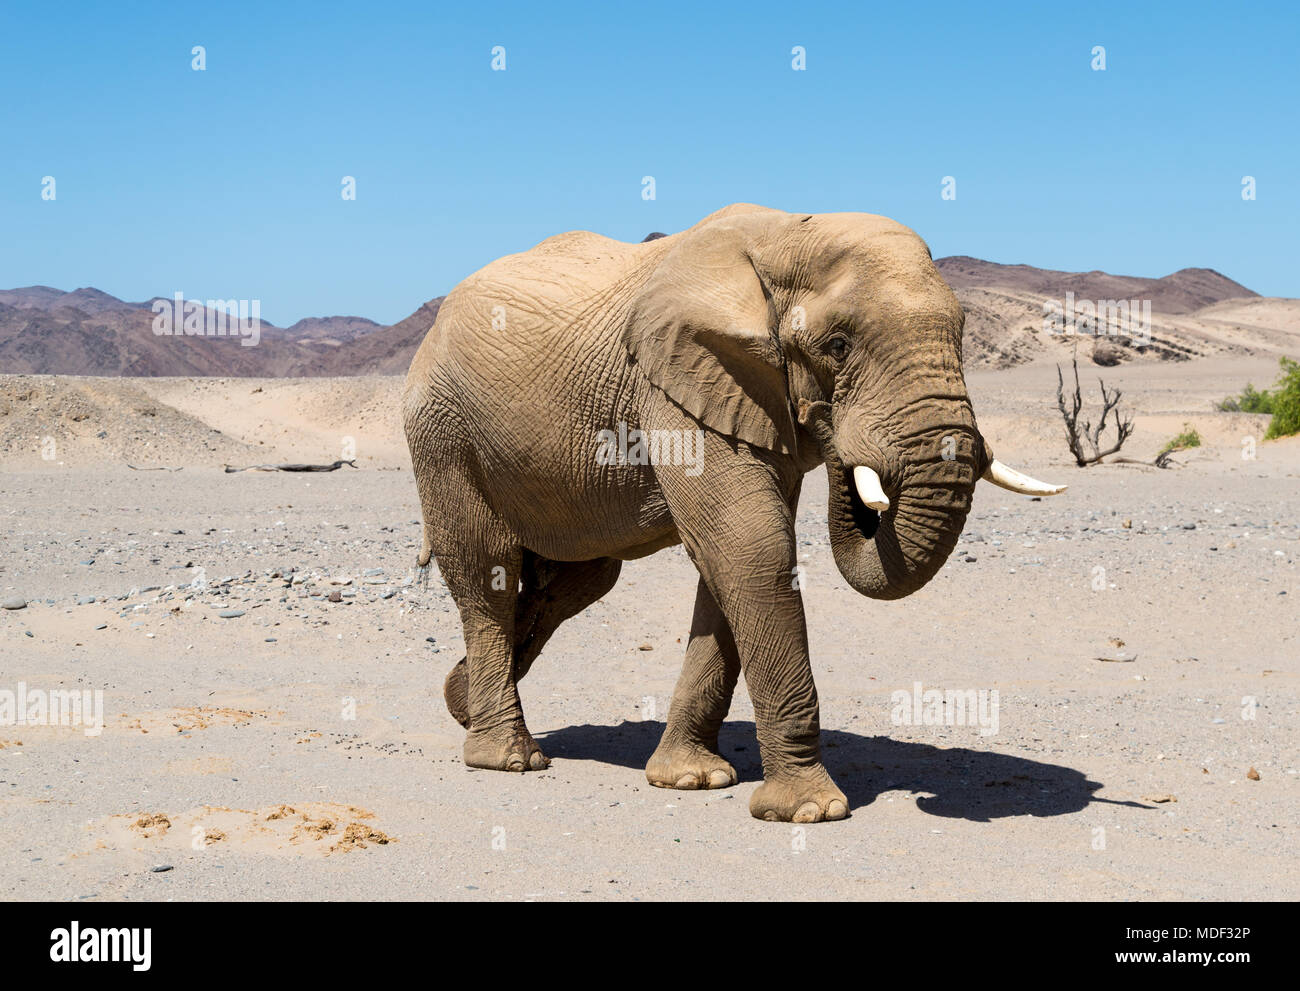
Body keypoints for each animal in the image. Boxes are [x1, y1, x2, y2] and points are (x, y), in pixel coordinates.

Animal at [402, 203, 1065, 822]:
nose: (834, 431)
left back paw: (462, 700)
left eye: (962, 334)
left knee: (575, 581)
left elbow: (728, 564)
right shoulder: (680, 381)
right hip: (442, 431)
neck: (789, 235)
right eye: (837, 346)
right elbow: (751, 548)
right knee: (486, 571)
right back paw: (507, 757)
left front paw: (690, 780)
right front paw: (809, 811)